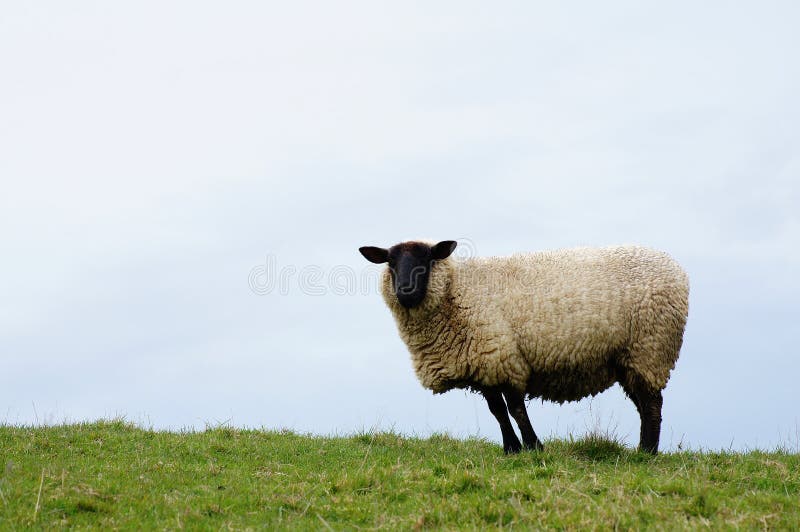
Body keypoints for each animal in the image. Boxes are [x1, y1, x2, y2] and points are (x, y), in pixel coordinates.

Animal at [359, 240, 689, 454]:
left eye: (427, 259)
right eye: (390, 263)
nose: (405, 290)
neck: (457, 291)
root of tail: (676, 268)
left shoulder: (505, 357)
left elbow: (515, 408)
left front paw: (532, 446)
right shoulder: (483, 362)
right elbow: (497, 410)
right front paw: (511, 448)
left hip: (650, 347)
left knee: (653, 404)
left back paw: (647, 452)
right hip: (629, 358)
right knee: (643, 403)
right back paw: (644, 449)